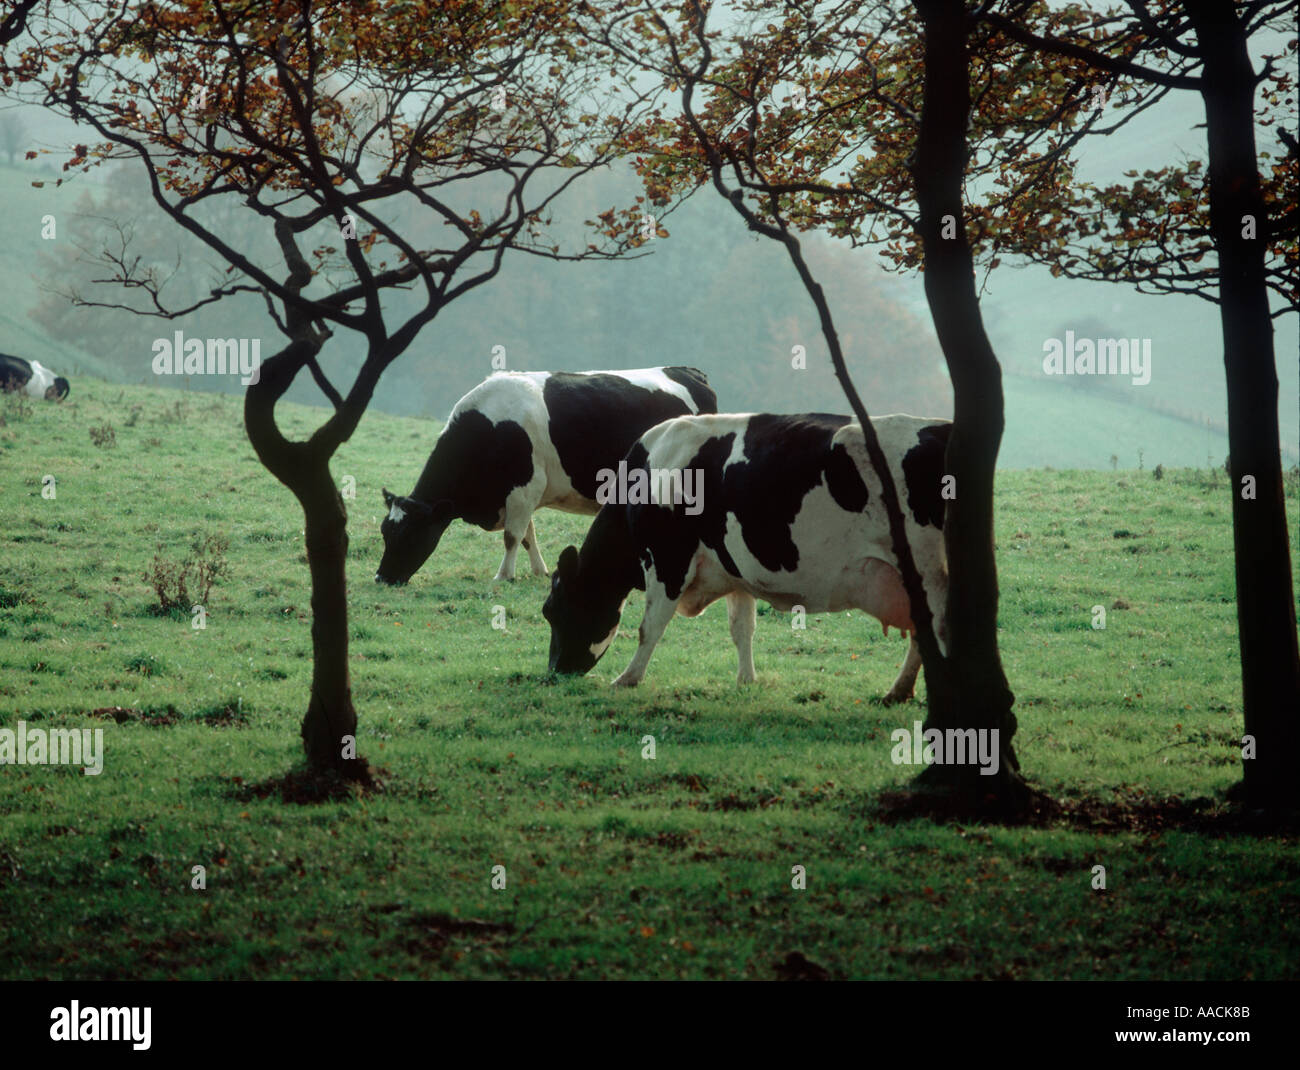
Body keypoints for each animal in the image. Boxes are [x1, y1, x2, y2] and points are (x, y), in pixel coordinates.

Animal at [376, 367, 718, 584]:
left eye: (409, 534)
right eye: (384, 532)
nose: (381, 578)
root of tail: (687, 371)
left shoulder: (524, 487)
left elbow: (512, 536)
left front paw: (504, 576)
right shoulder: (523, 495)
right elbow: (528, 535)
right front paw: (538, 571)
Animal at [542, 412, 951, 703]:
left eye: (552, 610)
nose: (555, 673)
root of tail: (940, 428)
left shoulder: (667, 560)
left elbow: (650, 626)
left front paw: (627, 678)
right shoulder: (733, 570)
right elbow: (742, 628)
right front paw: (746, 680)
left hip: (930, 572)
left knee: (937, 632)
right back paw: (897, 692)